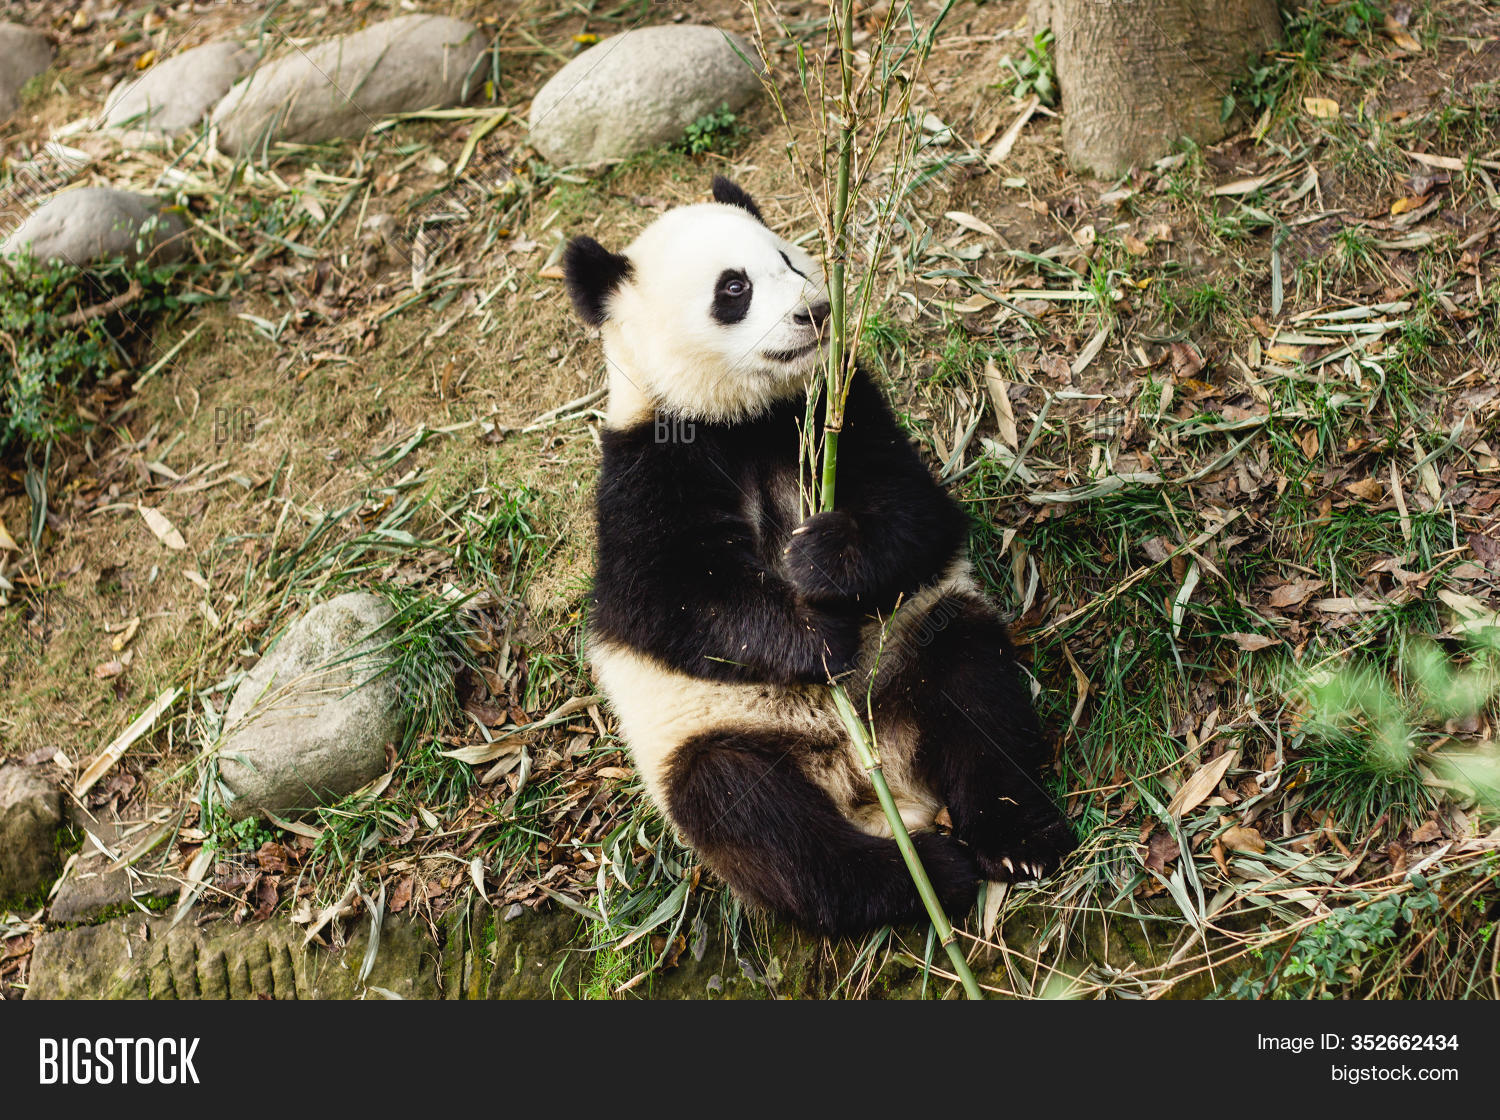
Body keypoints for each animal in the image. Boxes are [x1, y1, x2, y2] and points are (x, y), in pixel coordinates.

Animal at [564, 176, 1076, 938]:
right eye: (734, 288)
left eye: (788, 257)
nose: (816, 311)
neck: (742, 416)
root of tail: (873, 781)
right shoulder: (644, 468)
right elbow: (664, 601)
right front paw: (816, 633)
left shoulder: (841, 403)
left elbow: (917, 511)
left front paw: (820, 561)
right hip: (714, 735)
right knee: (759, 822)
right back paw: (922, 874)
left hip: (914, 644)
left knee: (976, 695)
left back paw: (1016, 841)